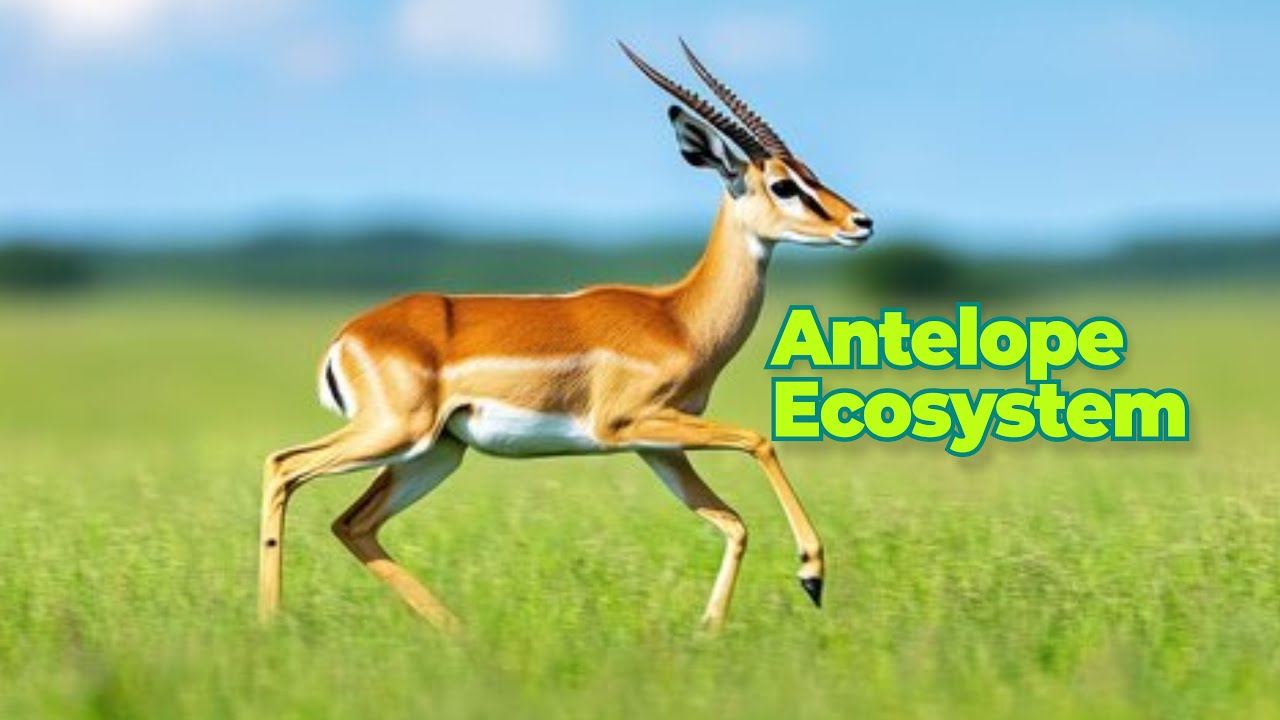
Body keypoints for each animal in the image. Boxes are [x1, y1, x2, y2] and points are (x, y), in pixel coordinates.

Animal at [258, 40, 874, 633]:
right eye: (783, 185)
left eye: (812, 172)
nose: (860, 223)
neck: (678, 317)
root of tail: (348, 336)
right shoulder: (628, 424)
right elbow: (759, 439)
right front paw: (812, 574)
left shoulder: (660, 446)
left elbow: (733, 522)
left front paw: (710, 628)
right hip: (395, 434)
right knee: (283, 466)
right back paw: (271, 622)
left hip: (434, 453)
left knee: (352, 523)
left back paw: (457, 630)